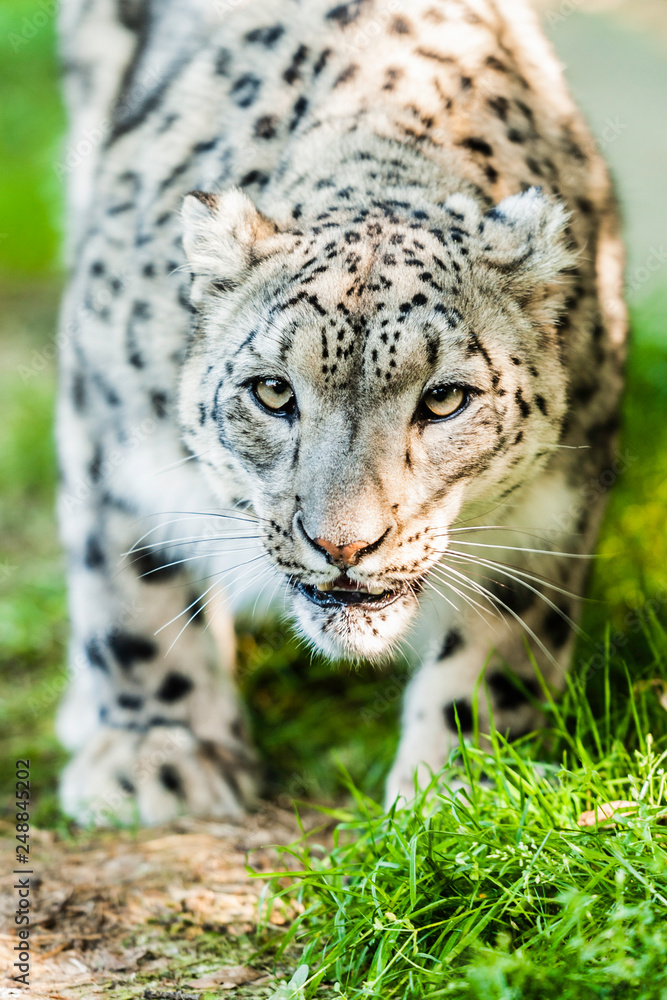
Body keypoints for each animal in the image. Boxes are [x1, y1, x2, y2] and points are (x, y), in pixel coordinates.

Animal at [55, 0, 627, 825]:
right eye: (272, 392)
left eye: (444, 398)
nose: (343, 546)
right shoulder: (113, 433)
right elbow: (133, 587)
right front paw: (161, 755)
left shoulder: (552, 508)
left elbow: (503, 640)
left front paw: (462, 787)